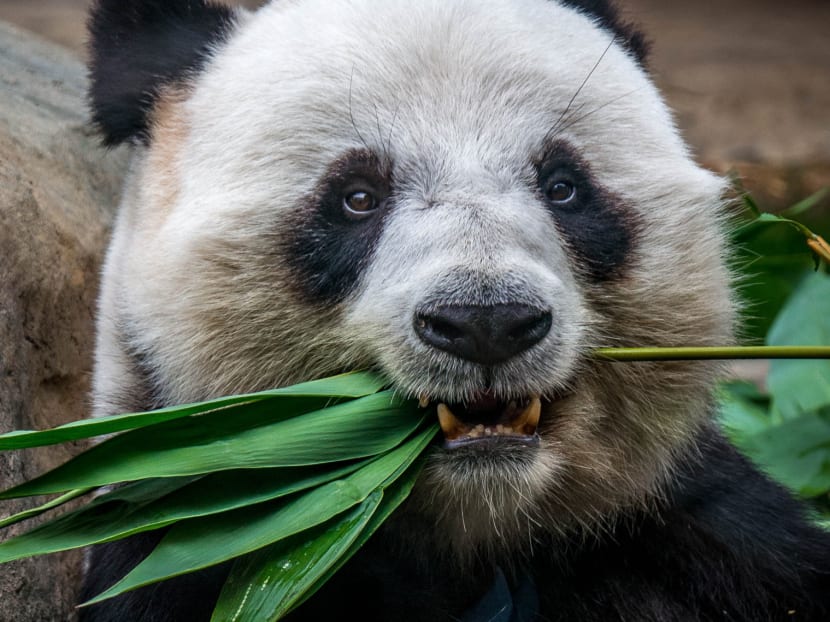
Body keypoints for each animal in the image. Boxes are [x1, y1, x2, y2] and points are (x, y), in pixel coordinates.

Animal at [79, 0, 830, 620]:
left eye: (563, 186)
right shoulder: (194, 540)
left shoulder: (688, 535)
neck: (477, 531)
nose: (487, 322)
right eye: (357, 197)